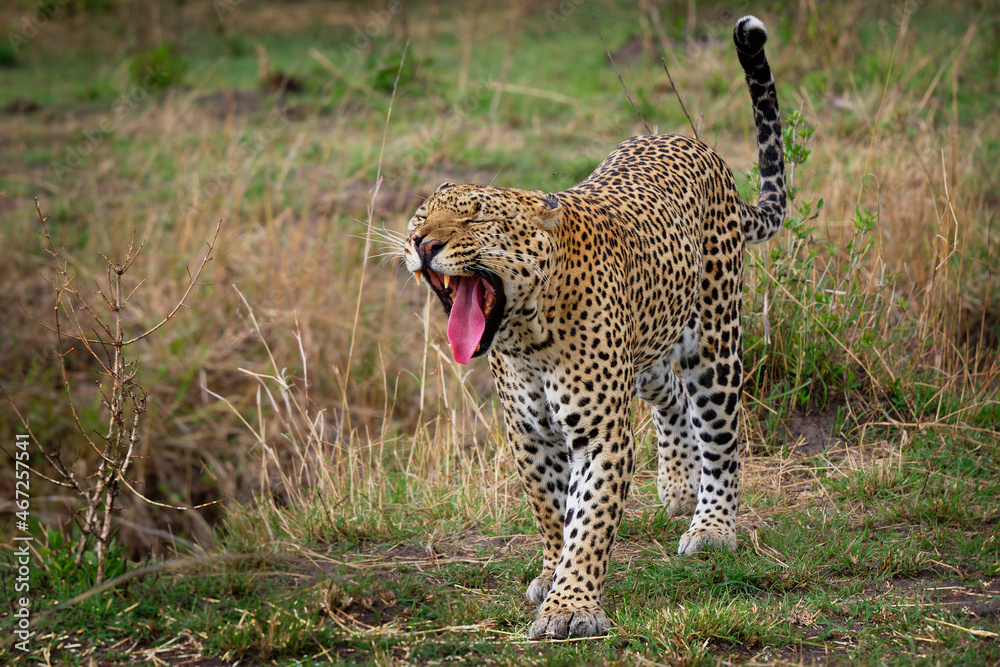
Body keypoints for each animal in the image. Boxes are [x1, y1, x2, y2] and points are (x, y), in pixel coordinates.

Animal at [397, 16, 786, 639]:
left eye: (475, 217)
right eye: (421, 215)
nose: (420, 243)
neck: (525, 336)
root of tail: (695, 144)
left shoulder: (600, 434)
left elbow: (591, 518)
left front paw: (571, 605)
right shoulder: (529, 435)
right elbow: (552, 512)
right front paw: (551, 574)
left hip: (715, 341)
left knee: (721, 432)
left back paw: (711, 526)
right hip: (647, 348)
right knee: (671, 397)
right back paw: (678, 486)